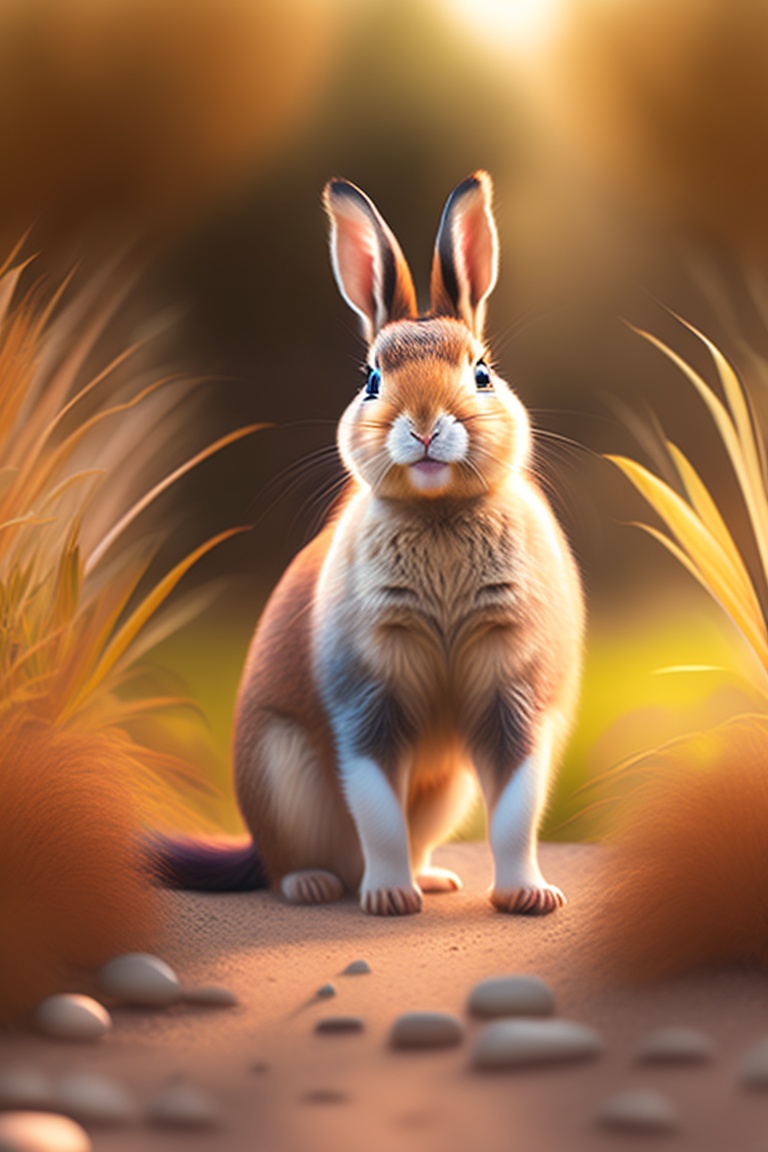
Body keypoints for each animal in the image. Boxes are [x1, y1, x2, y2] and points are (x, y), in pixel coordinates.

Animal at [229, 170, 585, 915]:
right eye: (371, 379)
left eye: (482, 372)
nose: (423, 426)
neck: (438, 514)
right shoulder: (365, 705)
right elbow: (377, 811)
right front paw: (389, 900)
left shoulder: (515, 699)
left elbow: (515, 812)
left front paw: (528, 897)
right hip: (281, 776)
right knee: (288, 863)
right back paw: (318, 886)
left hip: (446, 789)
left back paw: (433, 878)